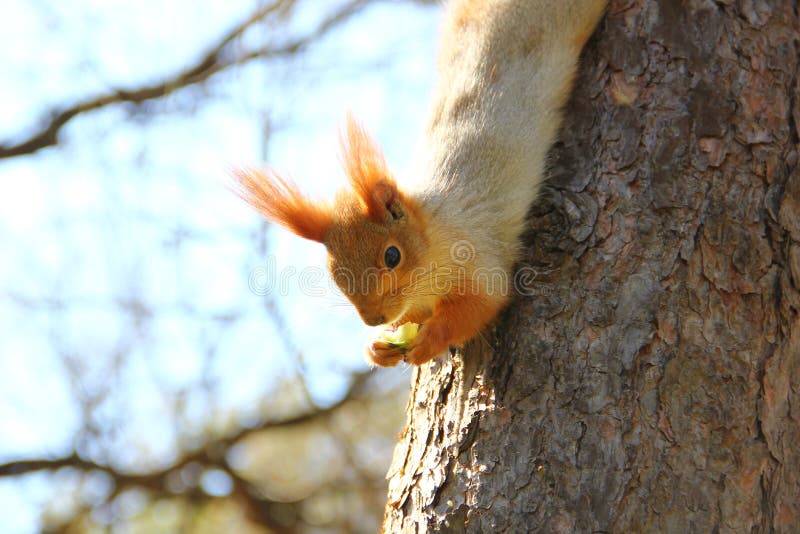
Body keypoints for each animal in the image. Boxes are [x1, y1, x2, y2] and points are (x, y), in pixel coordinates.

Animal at [234, 0, 608, 367]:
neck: (430, 234)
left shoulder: (475, 251)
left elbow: (481, 303)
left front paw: (430, 338)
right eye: (334, 272)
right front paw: (377, 346)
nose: (373, 319)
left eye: (392, 255)